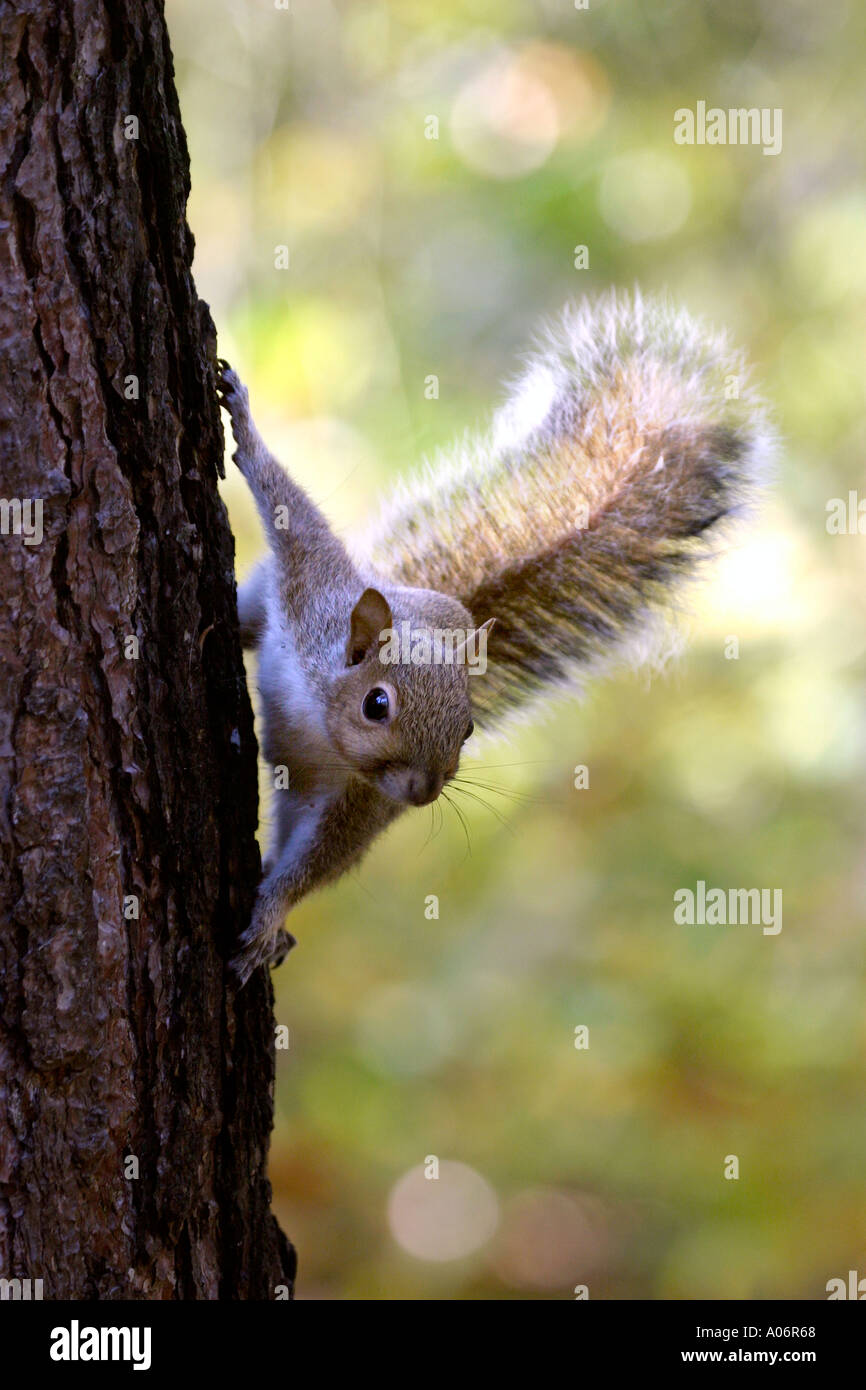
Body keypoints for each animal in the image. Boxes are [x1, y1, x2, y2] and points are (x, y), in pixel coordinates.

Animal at [217, 291, 771, 985]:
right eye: (377, 704)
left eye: (468, 729)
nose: (423, 793)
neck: (322, 722)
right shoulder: (310, 588)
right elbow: (290, 507)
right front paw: (244, 425)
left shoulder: (359, 802)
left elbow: (320, 860)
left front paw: (269, 917)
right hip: (269, 597)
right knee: (251, 619)